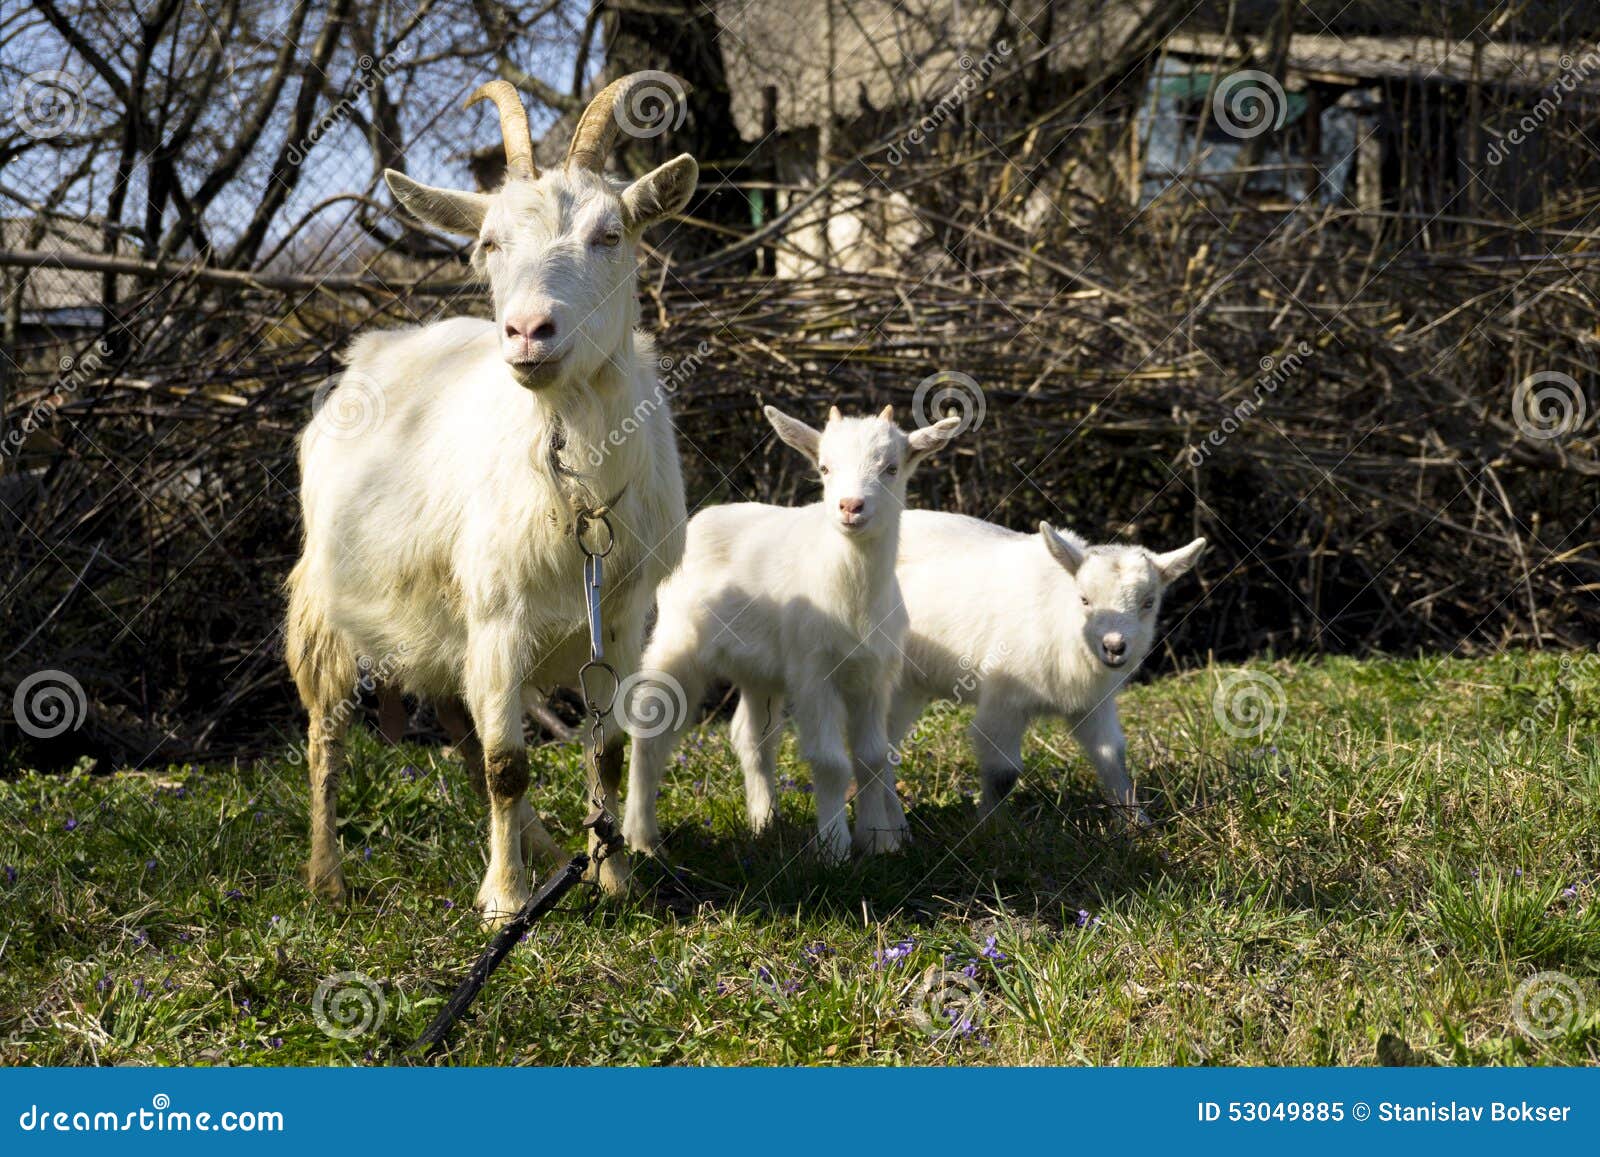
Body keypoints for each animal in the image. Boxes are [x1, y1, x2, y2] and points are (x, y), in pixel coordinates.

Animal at [285, 75, 698, 922]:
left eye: (610, 234)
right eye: (490, 243)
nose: (529, 330)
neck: (576, 493)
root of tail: (370, 351)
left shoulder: (624, 619)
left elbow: (609, 751)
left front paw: (611, 875)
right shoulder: (499, 619)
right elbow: (508, 763)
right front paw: (505, 904)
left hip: (441, 624)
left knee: (457, 723)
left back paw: (540, 846)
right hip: (328, 605)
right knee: (328, 736)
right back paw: (328, 876)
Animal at [622, 405, 962, 860]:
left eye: (891, 467)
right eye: (824, 467)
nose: (851, 506)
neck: (853, 597)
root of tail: (704, 517)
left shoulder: (875, 675)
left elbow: (873, 757)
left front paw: (880, 842)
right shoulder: (813, 672)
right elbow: (831, 761)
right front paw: (834, 850)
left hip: (759, 669)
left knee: (753, 737)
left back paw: (764, 820)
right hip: (678, 639)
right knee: (651, 727)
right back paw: (641, 839)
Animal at [881, 514, 1205, 828]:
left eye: (1148, 603)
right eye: (1084, 599)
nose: (1114, 647)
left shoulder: (1093, 703)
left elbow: (1111, 754)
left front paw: (1137, 822)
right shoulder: (1003, 700)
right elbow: (1003, 771)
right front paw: (990, 827)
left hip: (908, 687)